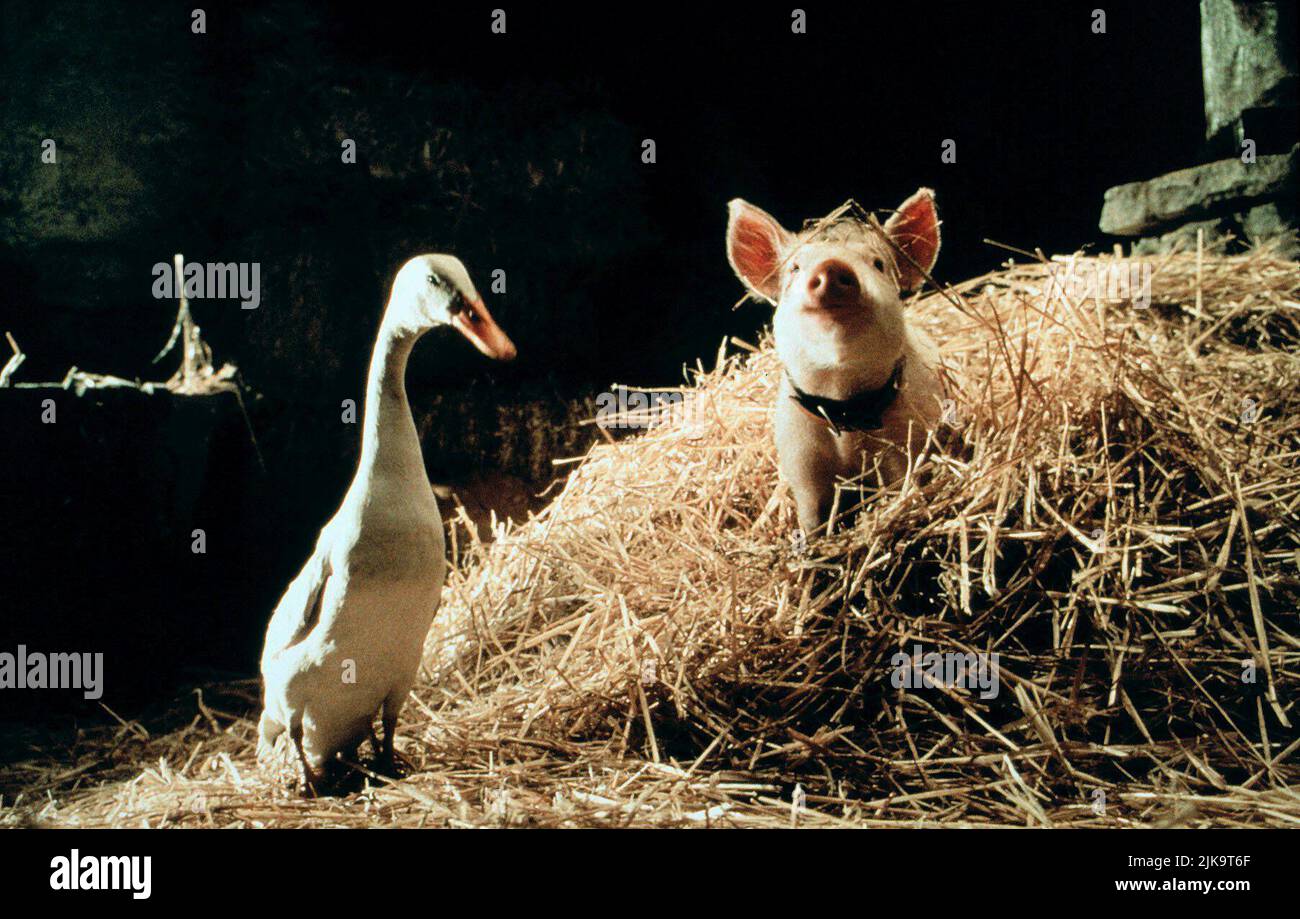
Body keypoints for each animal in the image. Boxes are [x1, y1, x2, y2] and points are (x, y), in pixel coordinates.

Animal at [725, 188, 945, 534]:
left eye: (878, 263)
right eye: (795, 268)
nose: (831, 266)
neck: (843, 406)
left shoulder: (908, 444)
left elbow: (905, 487)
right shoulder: (802, 464)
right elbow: (811, 518)